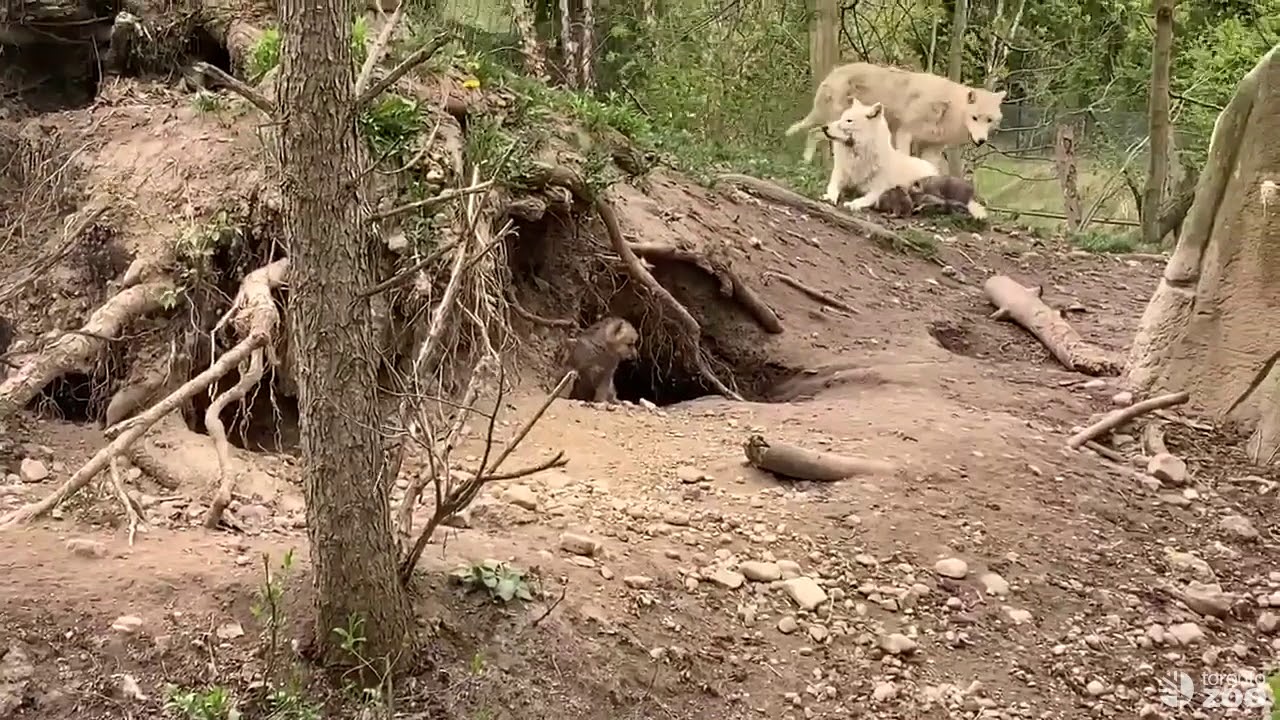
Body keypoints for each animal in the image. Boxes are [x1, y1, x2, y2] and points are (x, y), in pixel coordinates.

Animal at [786, 62, 1006, 169]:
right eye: (975, 118)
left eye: (989, 120)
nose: (981, 141)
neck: (948, 107)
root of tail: (832, 73)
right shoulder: (904, 134)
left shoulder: (932, 148)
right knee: (814, 133)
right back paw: (806, 163)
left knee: (814, 134)